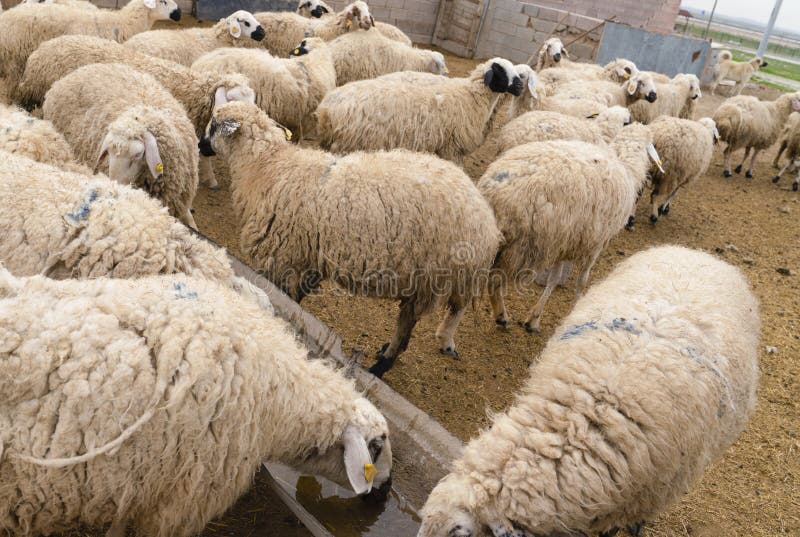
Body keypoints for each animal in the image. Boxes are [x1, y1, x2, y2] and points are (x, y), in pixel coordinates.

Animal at [199, 101, 502, 378]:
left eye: (214, 126)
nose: (200, 145)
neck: (268, 166)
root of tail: (487, 222)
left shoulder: (284, 257)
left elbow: (283, 301)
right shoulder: (310, 258)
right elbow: (298, 298)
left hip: (430, 276)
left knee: (408, 326)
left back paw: (383, 364)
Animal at [316, 58, 525, 164]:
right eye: (500, 72)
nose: (520, 86)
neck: (470, 96)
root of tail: (327, 108)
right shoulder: (451, 149)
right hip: (348, 144)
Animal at [477, 123, 660, 333]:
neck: (627, 167)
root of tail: (493, 189)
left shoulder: (565, 240)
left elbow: (554, 279)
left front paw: (534, 319)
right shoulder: (596, 243)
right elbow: (582, 280)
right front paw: (578, 306)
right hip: (520, 247)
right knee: (494, 281)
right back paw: (501, 316)